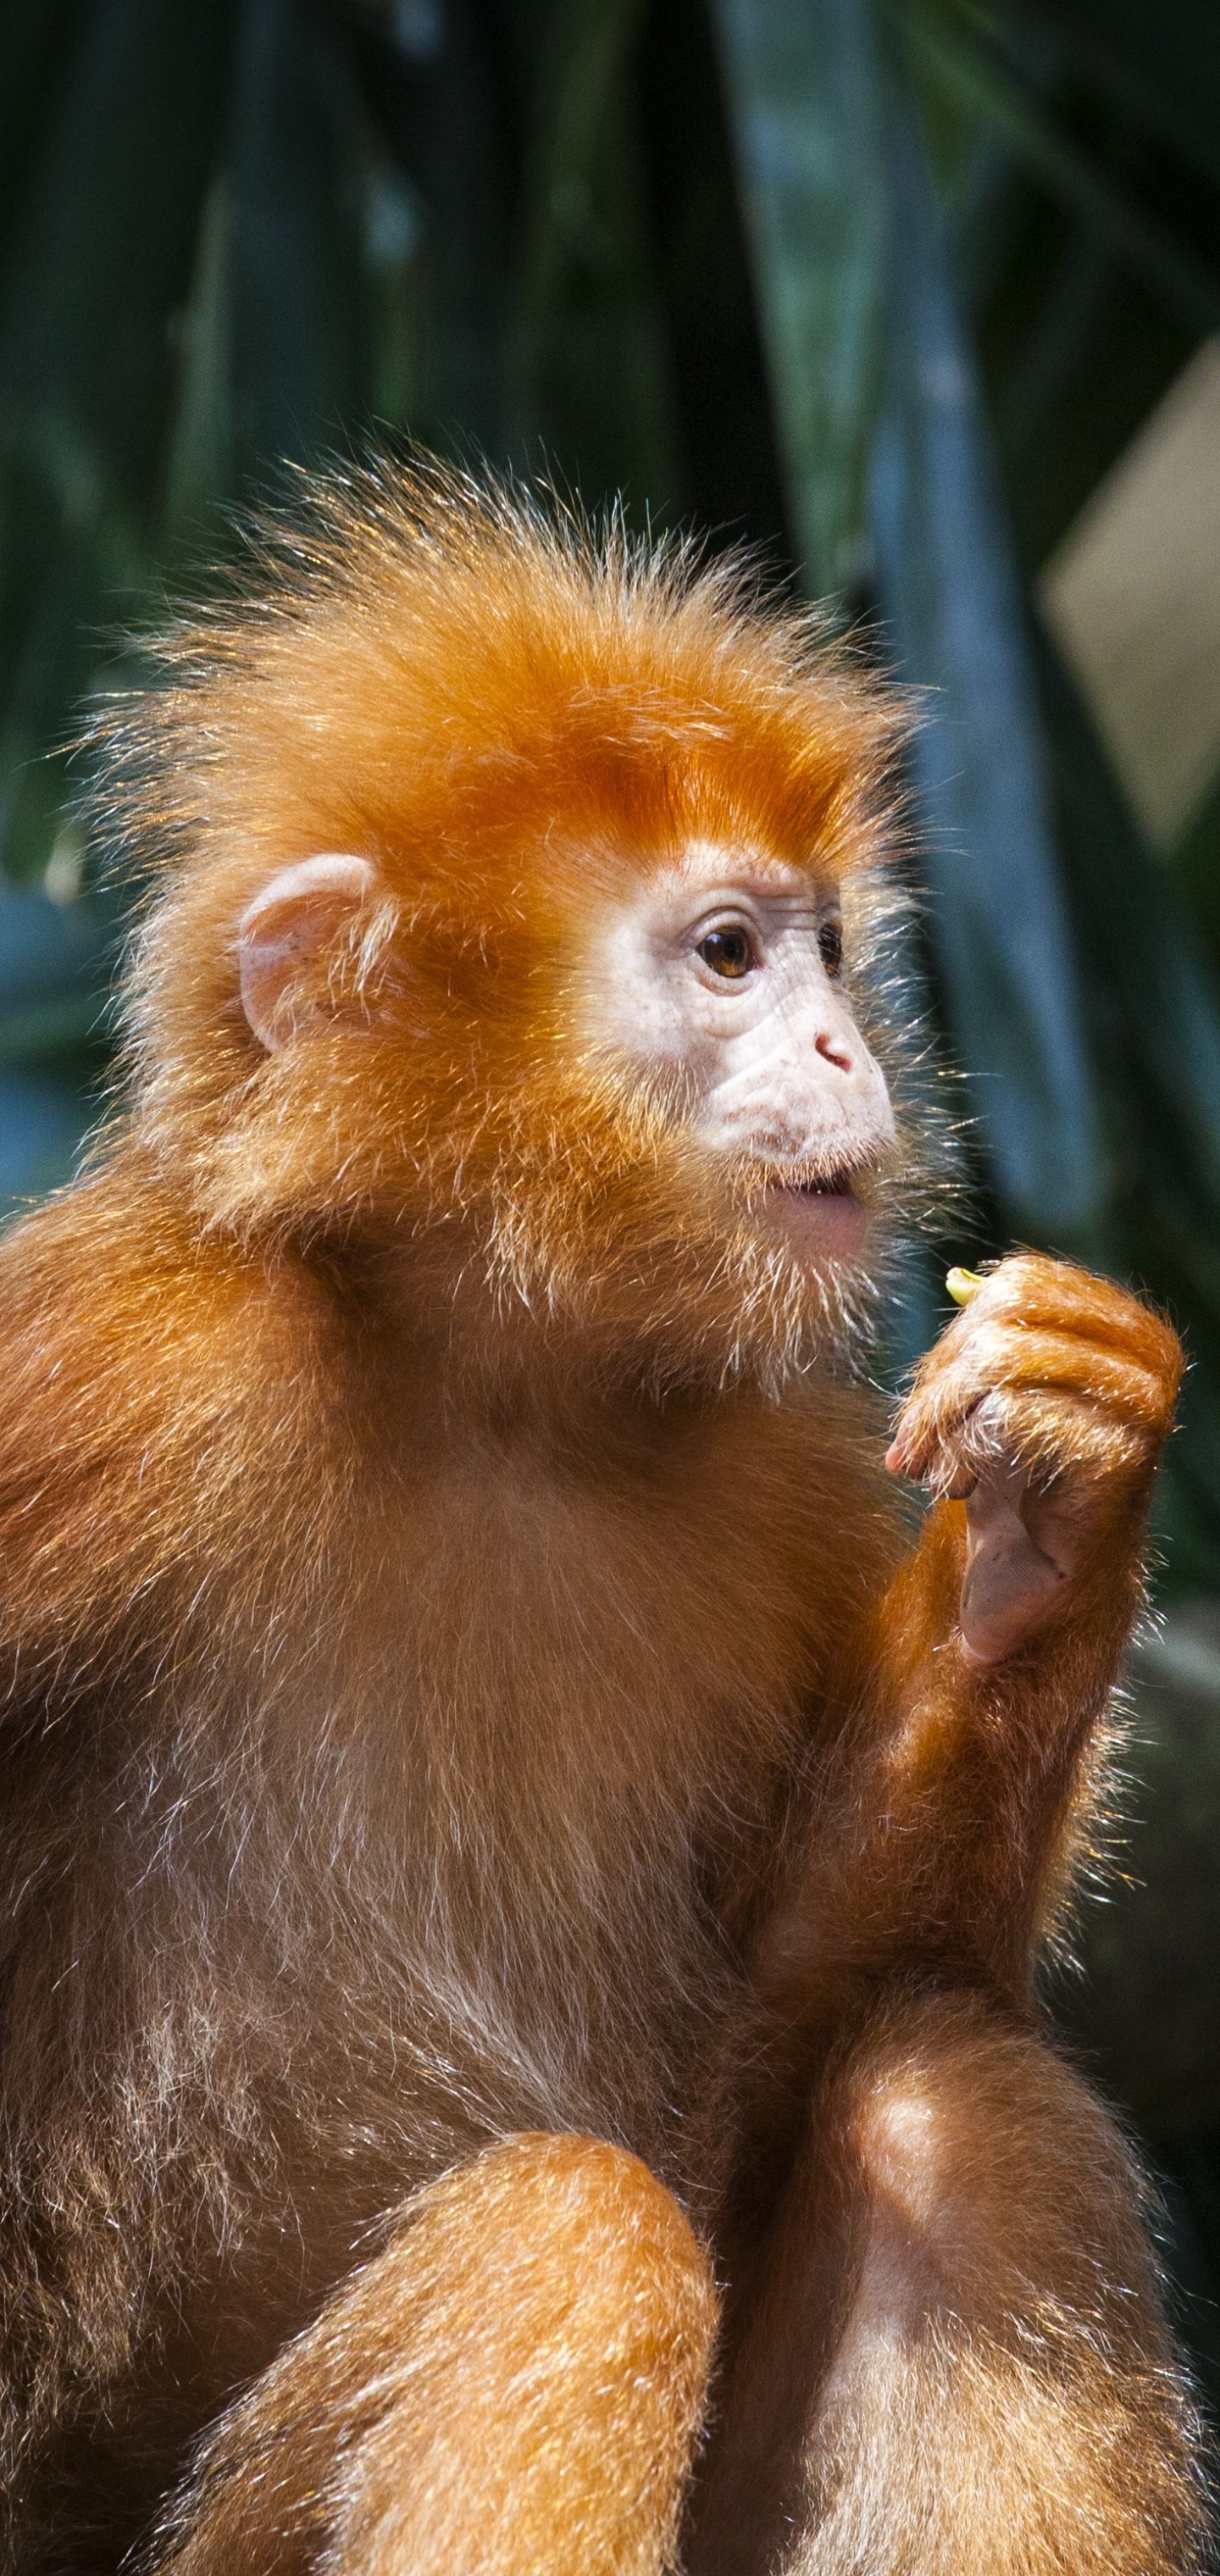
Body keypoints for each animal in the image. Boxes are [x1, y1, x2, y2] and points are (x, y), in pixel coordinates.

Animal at [0, 461, 1208, 2576]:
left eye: (827, 949)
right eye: (729, 954)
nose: (847, 1047)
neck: (493, 1395)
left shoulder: (785, 1471)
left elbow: (804, 2030)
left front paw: (1049, 1526)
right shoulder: (118, 1371)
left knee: (946, 2103)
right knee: (571, 2230)